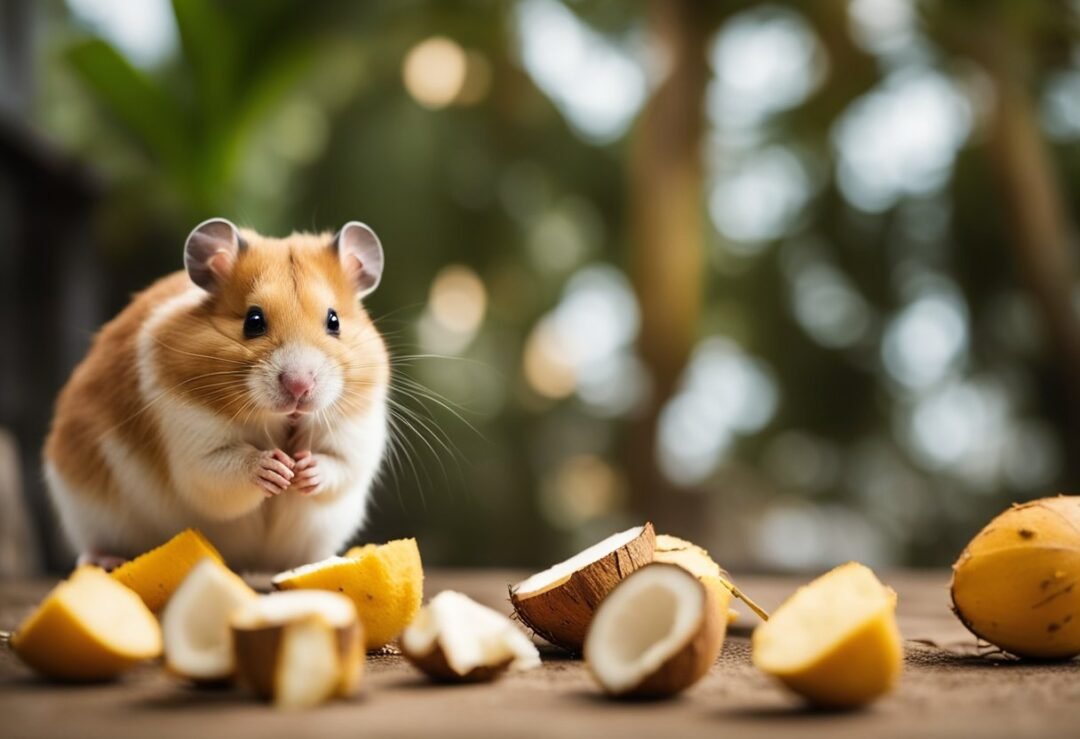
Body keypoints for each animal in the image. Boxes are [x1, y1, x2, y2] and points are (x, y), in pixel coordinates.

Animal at [43, 218, 390, 572]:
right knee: (91, 546)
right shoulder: (194, 444)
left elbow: (338, 466)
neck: (281, 419)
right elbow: (224, 471)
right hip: (85, 509)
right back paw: (106, 560)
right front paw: (275, 468)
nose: (299, 387)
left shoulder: (354, 437)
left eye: (334, 321)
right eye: (253, 321)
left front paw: (304, 470)